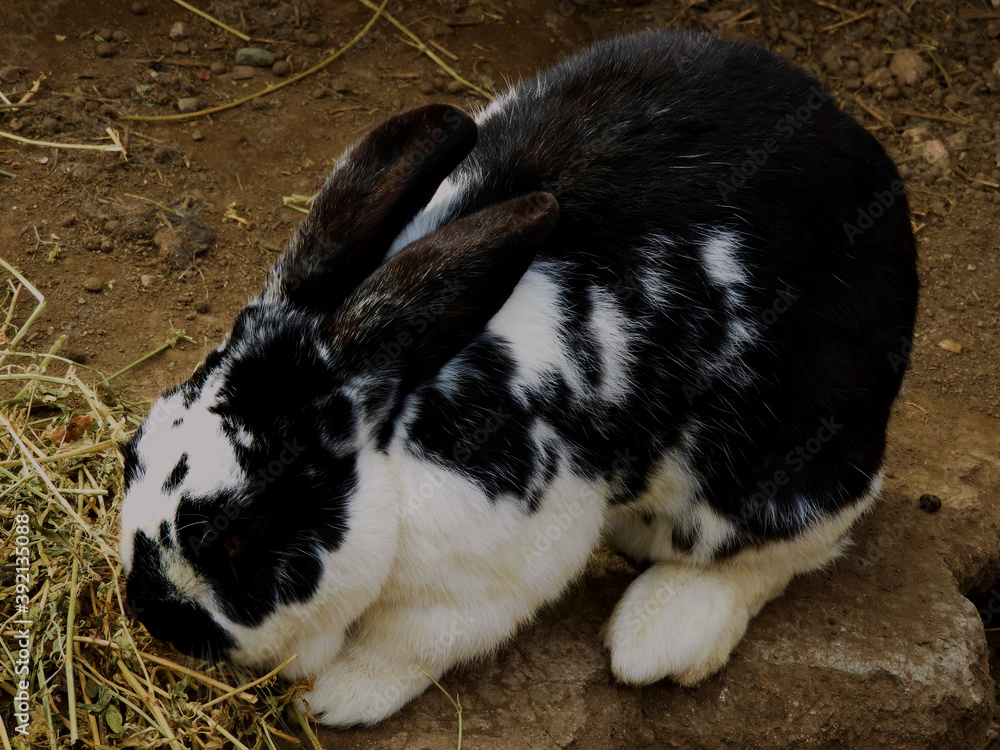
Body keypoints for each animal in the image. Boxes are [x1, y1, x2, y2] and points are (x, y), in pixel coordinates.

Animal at [118, 29, 918, 727]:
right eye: (130, 454)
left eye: (239, 538)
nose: (153, 617)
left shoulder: (483, 575)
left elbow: (405, 650)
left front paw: (334, 698)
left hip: (776, 462)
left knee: (778, 548)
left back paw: (658, 636)